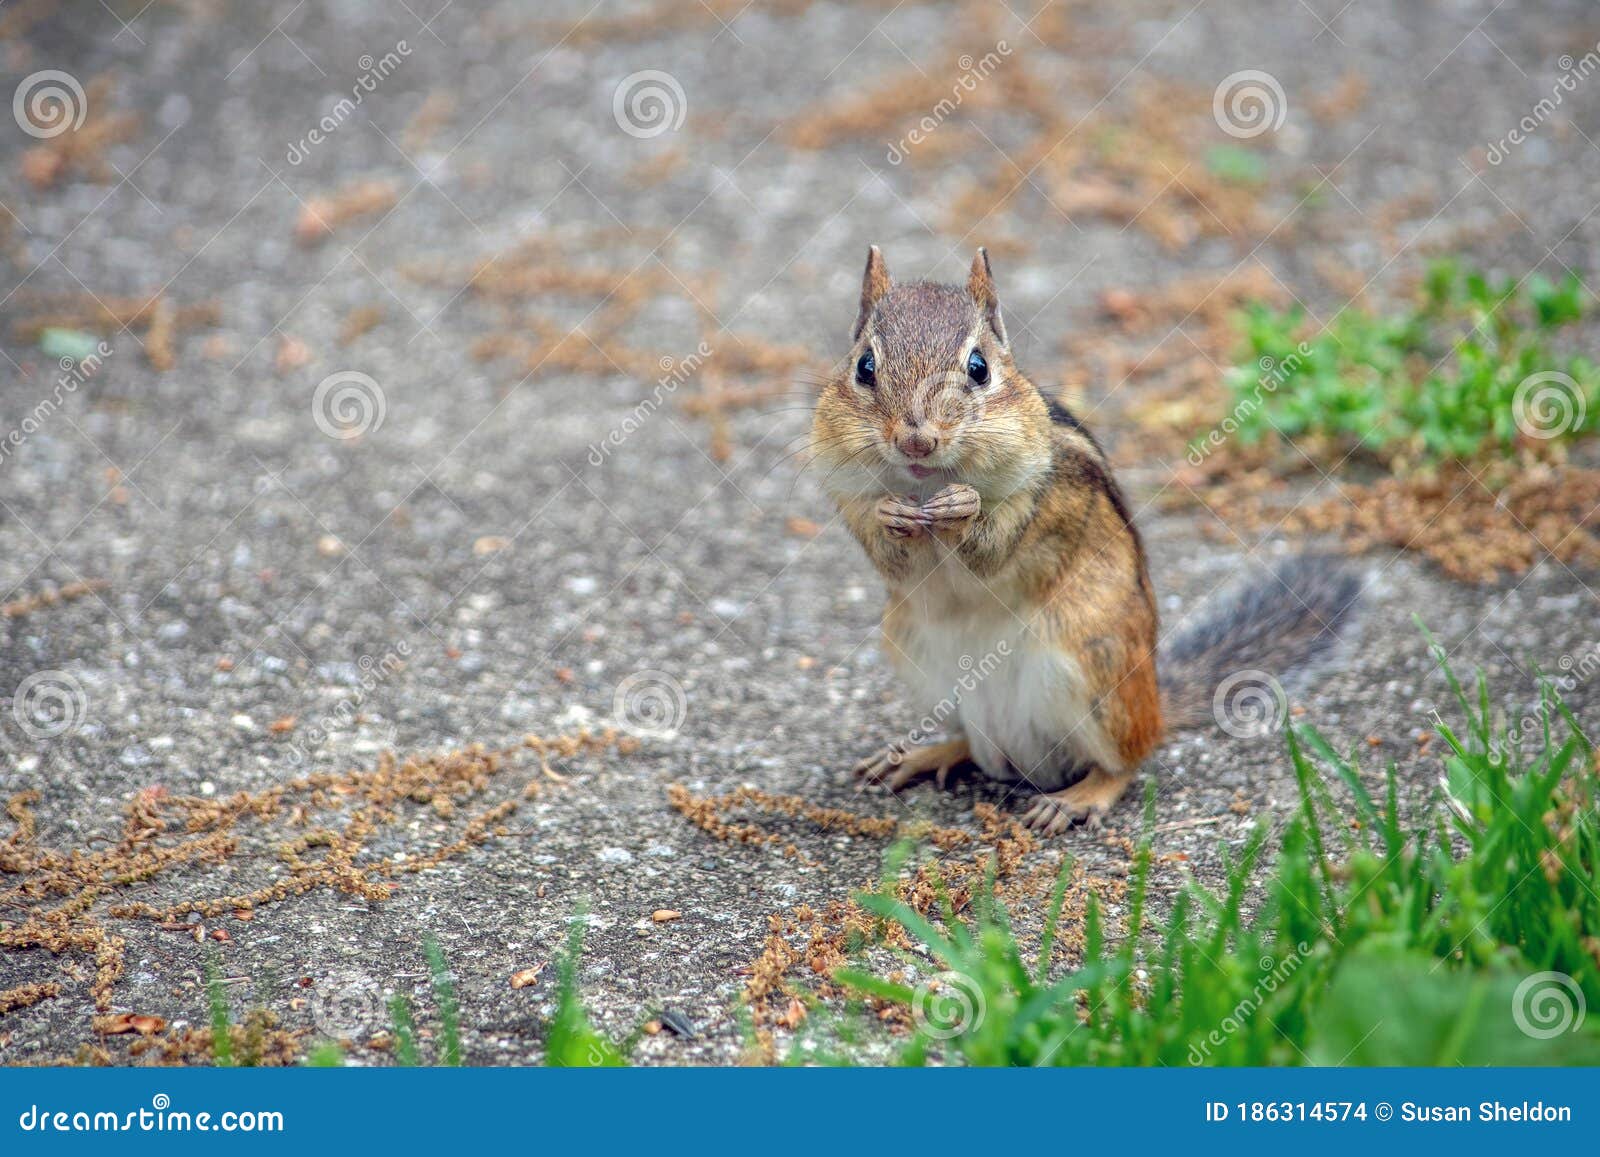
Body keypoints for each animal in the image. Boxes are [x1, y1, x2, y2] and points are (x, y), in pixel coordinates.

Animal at [809, 245, 1361, 832]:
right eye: (865, 367)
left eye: (979, 368)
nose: (917, 440)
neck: (927, 483)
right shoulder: (846, 493)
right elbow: (881, 538)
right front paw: (889, 512)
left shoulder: (1041, 494)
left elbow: (997, 541)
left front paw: (963, 507)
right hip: (919, 662)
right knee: (970, 745)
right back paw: (918, 755)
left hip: (1095, 669)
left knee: (1128, 760)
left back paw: (1075, 798)